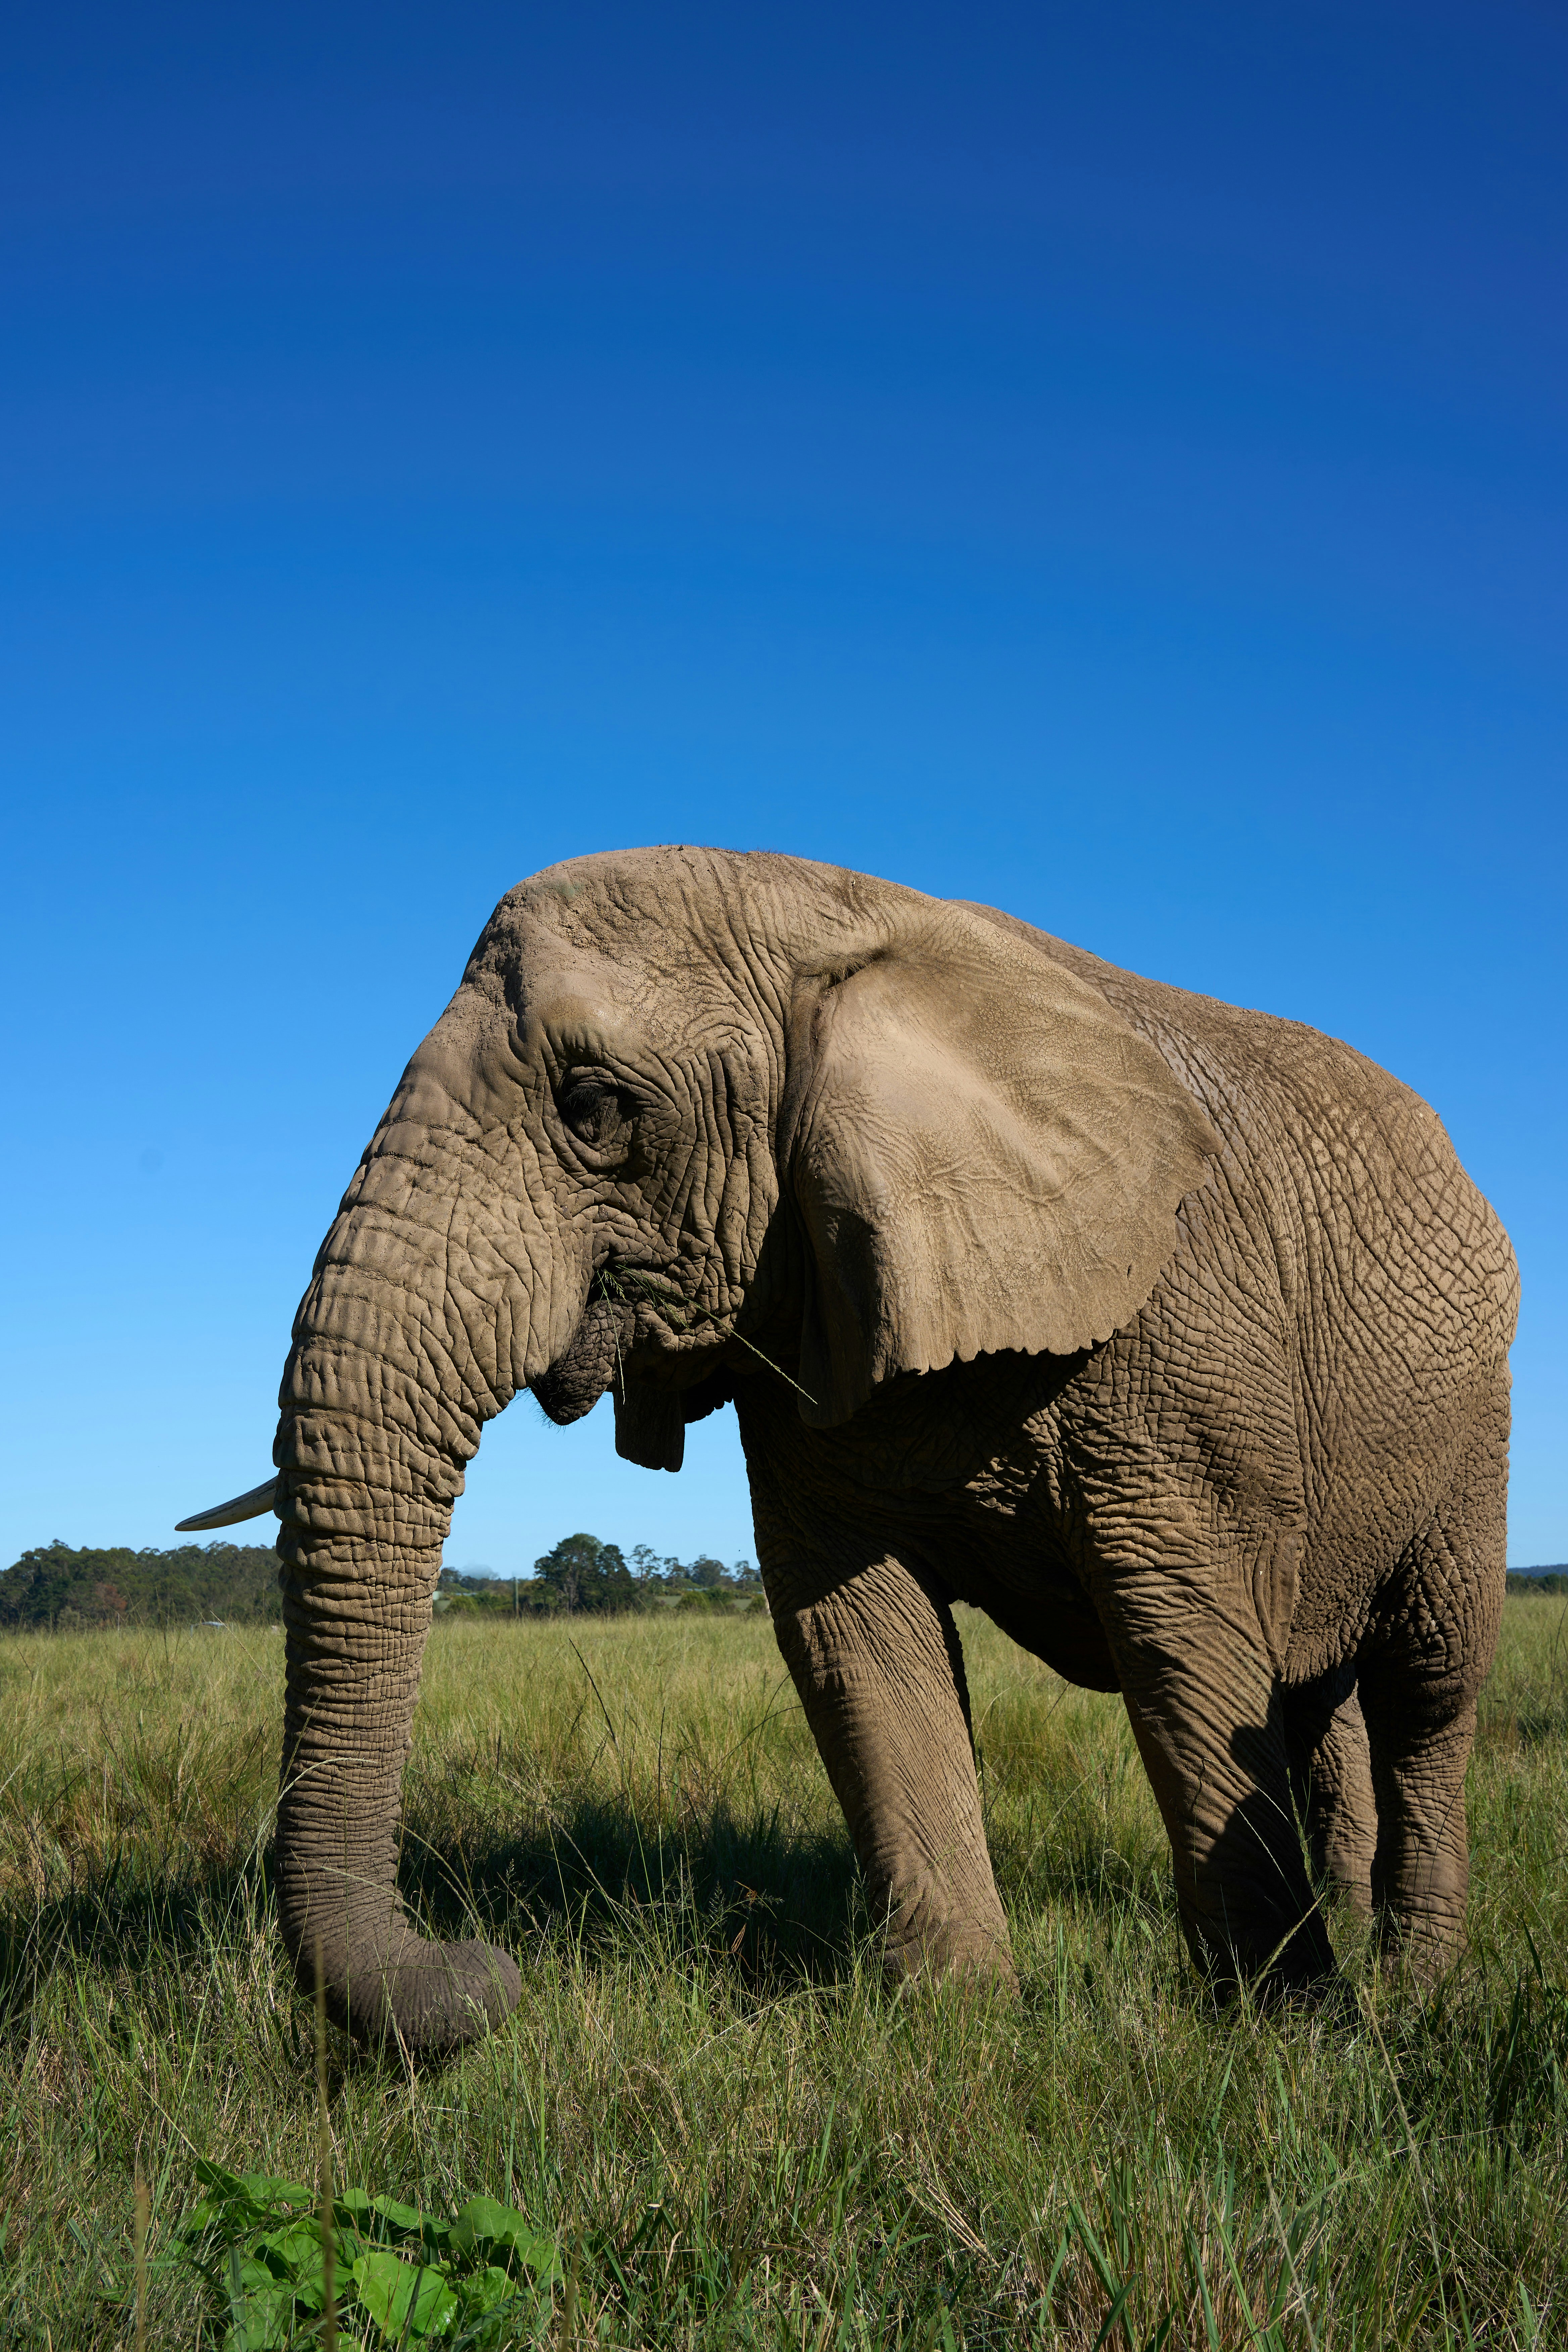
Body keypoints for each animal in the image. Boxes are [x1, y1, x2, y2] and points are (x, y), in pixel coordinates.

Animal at [180, 846, 1517, 2053]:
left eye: (596, 1107)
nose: (487, 1971)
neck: (838, 921)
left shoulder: (1180, 1343)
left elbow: (1180, 1640)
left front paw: (1281, 2039)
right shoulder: (811, 1322)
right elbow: (855, 1636)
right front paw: (963, 2027)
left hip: (1477, 1418)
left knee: (1422, 1684)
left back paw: (1414, 1985)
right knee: (1315, 1690)